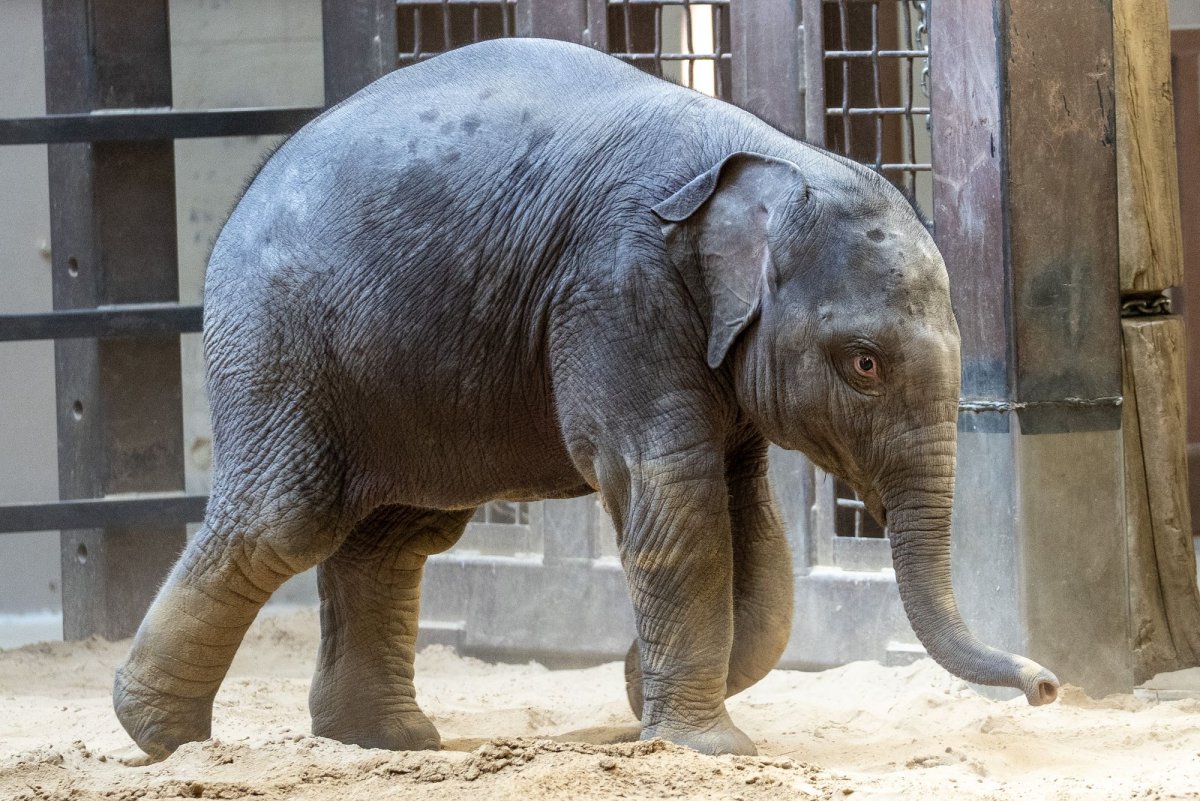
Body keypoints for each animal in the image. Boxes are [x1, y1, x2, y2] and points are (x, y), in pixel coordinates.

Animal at [112, 37, 1059, 760]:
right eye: (863, 363)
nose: (1048, 685)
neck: (768, 158)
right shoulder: (616, 292)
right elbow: (675, 496)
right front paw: (702, 743)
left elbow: (748, 519)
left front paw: (651, 695)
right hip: (284, 344)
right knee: (286, 518)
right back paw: (163, 738)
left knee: (398, 534)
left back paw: (383, 742)